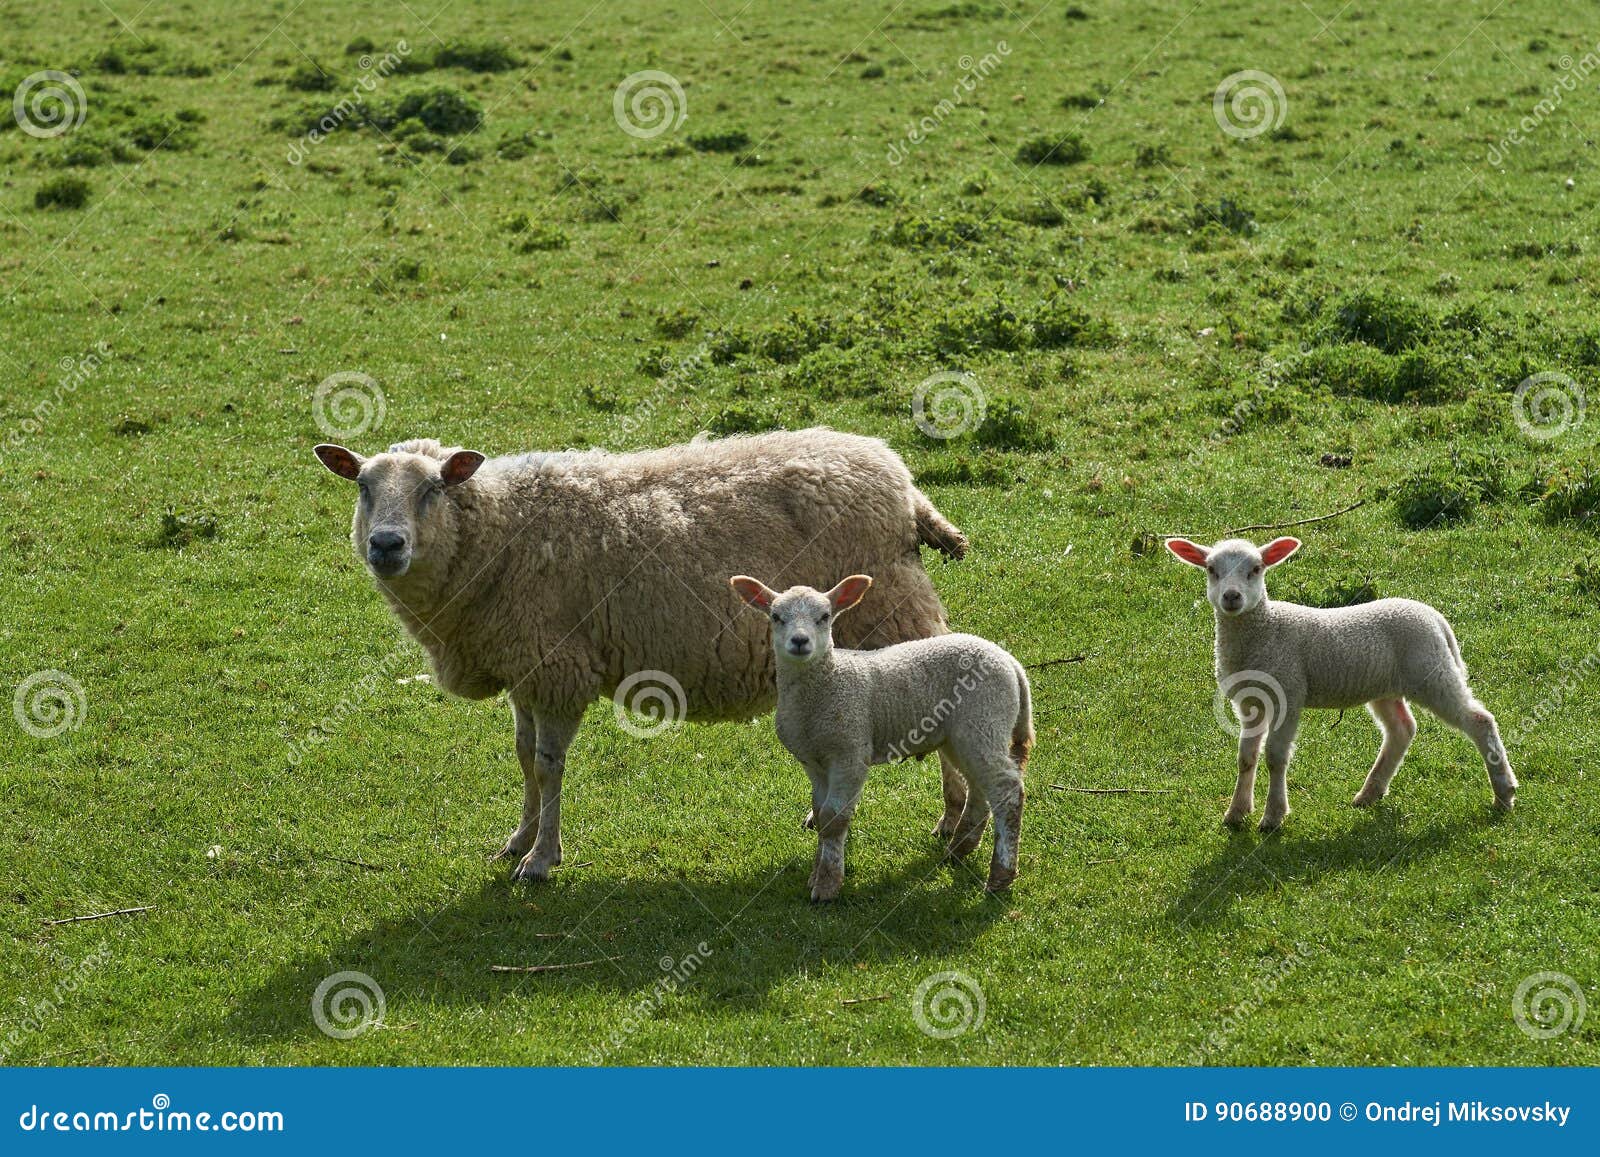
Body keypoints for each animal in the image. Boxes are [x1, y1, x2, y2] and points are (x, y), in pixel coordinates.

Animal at [312, 428, 973, 881]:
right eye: (363, 487)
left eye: (433, 488)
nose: (386, 545)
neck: (497, 534)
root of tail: (902, 483)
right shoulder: (525, 667)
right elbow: (524, 758)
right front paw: (518, 839)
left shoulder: (559, 667)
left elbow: (548, 766)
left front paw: (541, 860)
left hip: (894, 611)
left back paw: (954, 822)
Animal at [730, 574, 1033, 900]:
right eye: (776, 617)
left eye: (824, 616)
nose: (800, 641)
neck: (826, 684)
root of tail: (1010, 663)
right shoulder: (814, 762)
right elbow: (820, 814)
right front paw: (816, 874)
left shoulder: (849, 752)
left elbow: (834, 819)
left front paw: (827, 886)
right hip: (963, 736)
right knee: (979, 789)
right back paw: (958, 850)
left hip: (984, 719)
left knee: (1007, 791)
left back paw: (1000, 875)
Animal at [1166, 535, 1518, 832]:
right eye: (1211, 570)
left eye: (1256, 569)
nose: (1231, 597)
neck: (1264, 630)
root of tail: (1434, 616)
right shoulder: (1249, 703)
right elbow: (1246, 757)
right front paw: (1236, 812)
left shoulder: (1289, 693)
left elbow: (1276, 757)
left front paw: (1273, 816)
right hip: (1387, 686)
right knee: (1402, 729)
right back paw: (1370, 792)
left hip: (1432, 672)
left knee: (1479, 720)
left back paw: (1504, 791)